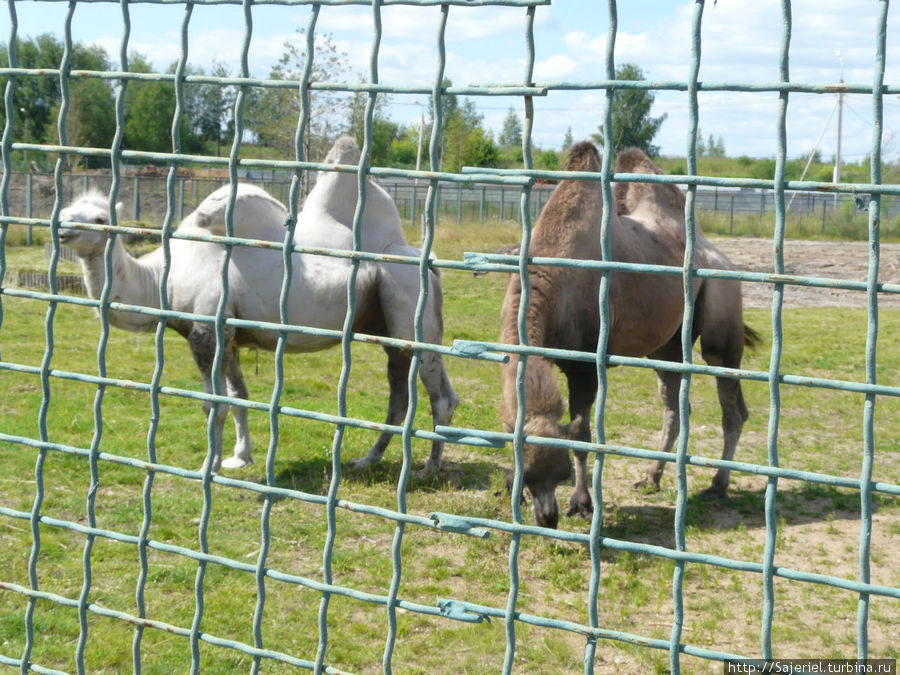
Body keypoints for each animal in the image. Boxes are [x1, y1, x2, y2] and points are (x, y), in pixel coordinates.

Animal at [57, 136, 460, 476]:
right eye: (68, 210)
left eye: (100, 219)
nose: (61, 227)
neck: (163, 278)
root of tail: (428, 263)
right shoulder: (231, 334)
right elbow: (239, 397)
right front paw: (240, 457)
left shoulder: (206, 329)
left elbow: (213, 403)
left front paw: (209, 466)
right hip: (390, 322)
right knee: (406, 393)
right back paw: (368, 459)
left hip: (406, 297)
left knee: (437, 394)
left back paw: (428, 468)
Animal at [500, 143, 760, 532]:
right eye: (524, 477)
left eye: (561, 475)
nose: (547, 518)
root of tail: (721, 257)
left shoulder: (585, 365)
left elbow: (582, 436)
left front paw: (583, 503)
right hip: (667, 346)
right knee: (675, 407)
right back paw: (651, 477)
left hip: (722, 310)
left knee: (731, 404)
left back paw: (718, 484)